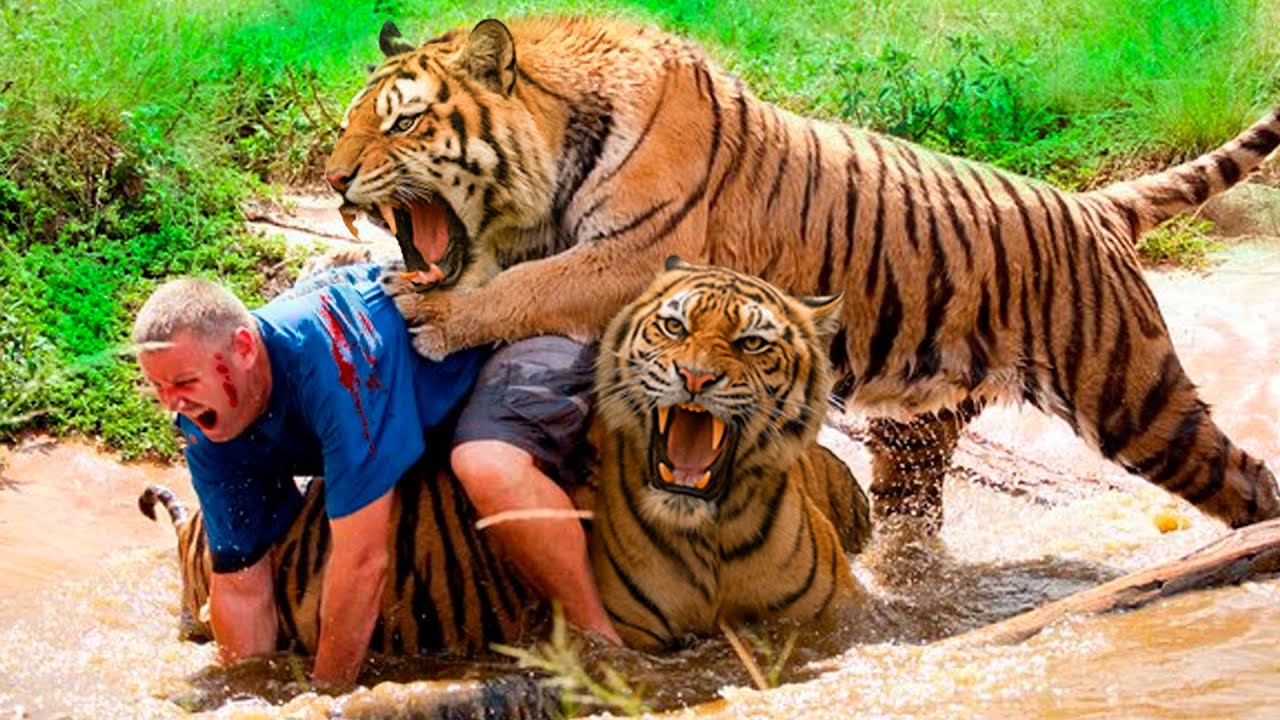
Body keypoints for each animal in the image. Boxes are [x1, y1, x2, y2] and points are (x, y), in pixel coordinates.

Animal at [323, 16, 1280, 533]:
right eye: (346, 125)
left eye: (403, 124)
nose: (332, 179)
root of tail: (1093, 205)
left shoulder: (630, 261)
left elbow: (524, 289)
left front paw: (433, 316)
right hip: (919, 430)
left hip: (1133, 397)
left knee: (1245, 480)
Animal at [589, 258, 873, 650]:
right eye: (675, 327)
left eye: (751, 343)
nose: (694, 377)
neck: (704, 534)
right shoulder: (631, 633)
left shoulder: (836, 613)